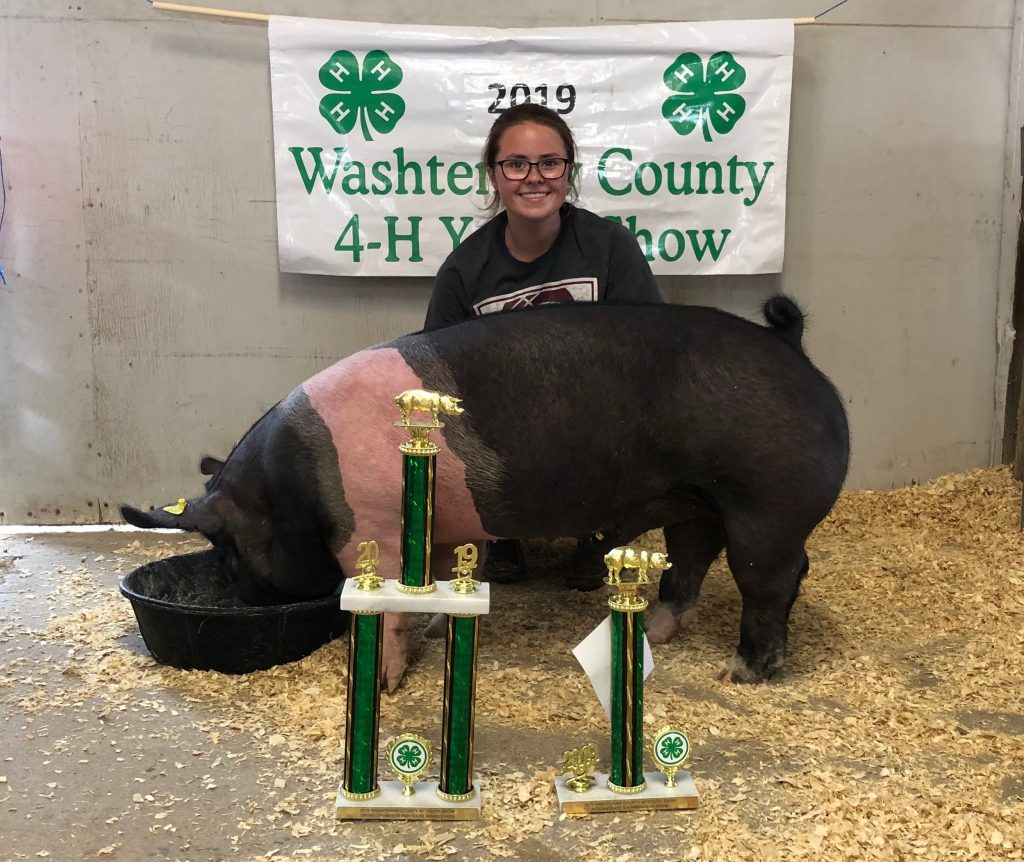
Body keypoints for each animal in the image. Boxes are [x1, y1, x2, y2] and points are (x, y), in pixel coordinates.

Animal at [122, 297, 849, 689]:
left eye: (229, 551)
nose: (242, 597)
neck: (290, 488)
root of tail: (794, 349)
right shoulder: (444, 527)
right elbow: (438, 585)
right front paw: (438, 631)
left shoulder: (374, 530)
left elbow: (387, 606)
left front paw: (382, 682)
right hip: (698, 499)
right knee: (693, 555)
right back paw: (659, 633)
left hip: (766, 502)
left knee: (775, 577)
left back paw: (741, 672)